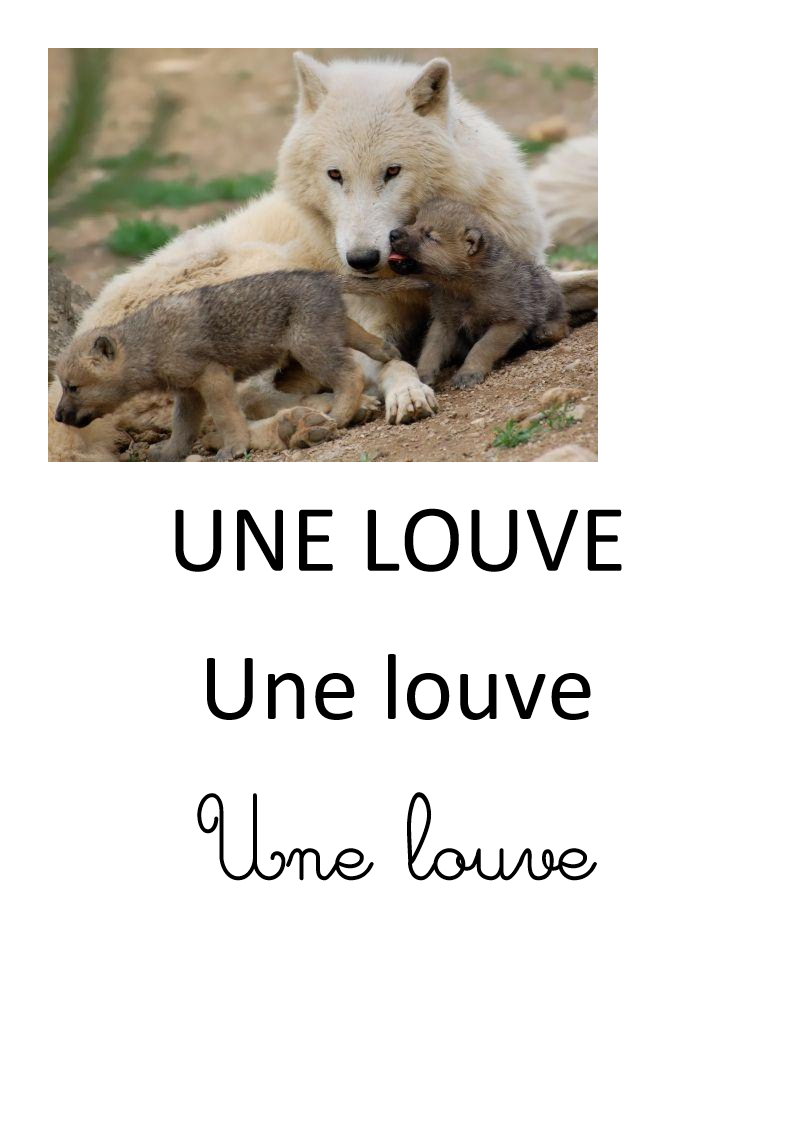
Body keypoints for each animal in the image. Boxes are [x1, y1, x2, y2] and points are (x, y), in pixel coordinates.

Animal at [67, 52, 598, 446]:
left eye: (392, 171)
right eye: (335, 174)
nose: (361, 260)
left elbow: (582, 283)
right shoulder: (365, 320)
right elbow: (392, 359)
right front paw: (407, 393)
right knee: (239, 405)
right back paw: (313, 419)